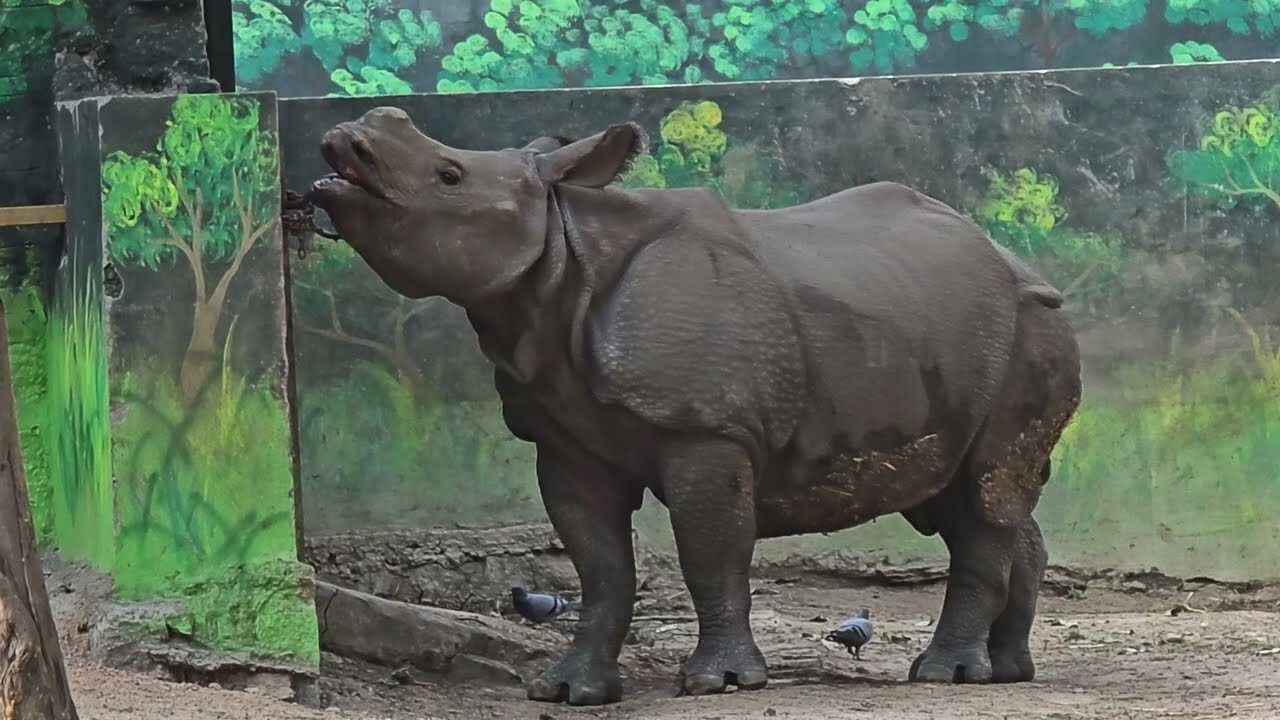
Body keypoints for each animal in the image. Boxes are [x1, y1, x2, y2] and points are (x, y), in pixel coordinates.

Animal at [306, 106, 1083, 706]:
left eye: (449, 176)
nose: (349, 135)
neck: (562, 248)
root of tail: (1023, 265)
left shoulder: (708, 431)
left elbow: (710, 551)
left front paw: (723, 685)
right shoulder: (564, 441)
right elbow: (600, 567)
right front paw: (567, 690)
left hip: (1030, 326)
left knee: (985, 493)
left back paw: (946, 676)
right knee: (970, 495)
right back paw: (1006, 672)